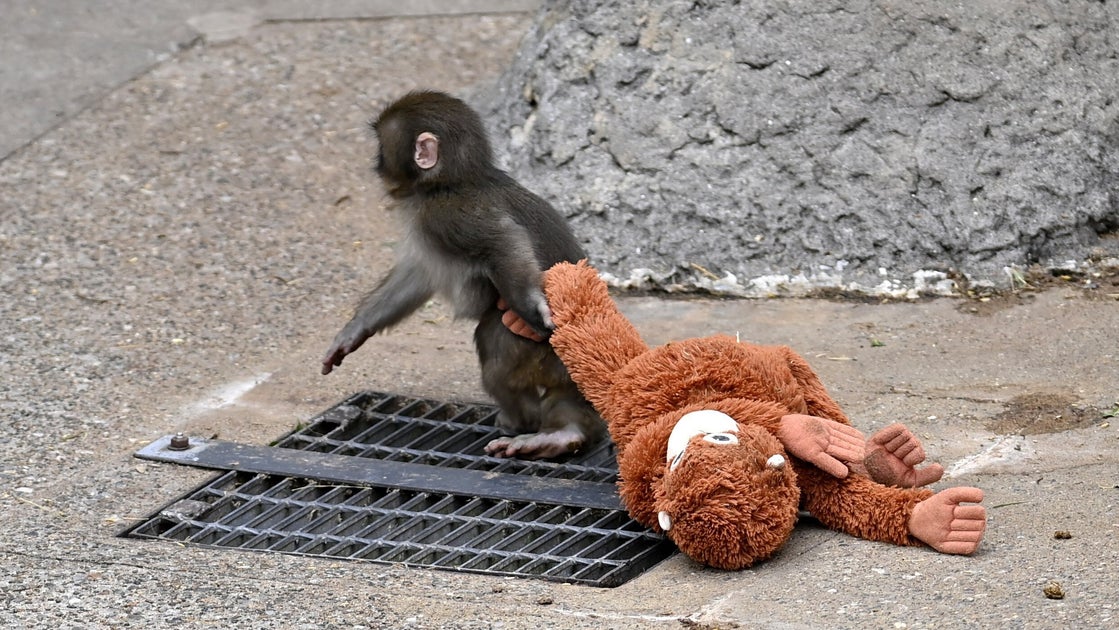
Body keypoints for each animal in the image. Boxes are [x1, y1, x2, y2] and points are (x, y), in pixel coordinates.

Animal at [320, 90, 605, 460]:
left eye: (382, 146)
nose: (376, 163)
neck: (450, 181)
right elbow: (417, 275)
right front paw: (355, 331)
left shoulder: (444, 214)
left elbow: (502, 241)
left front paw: (535, 305)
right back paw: (562, 435)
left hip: (540, 352)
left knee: (493, 340)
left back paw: (521, 420)